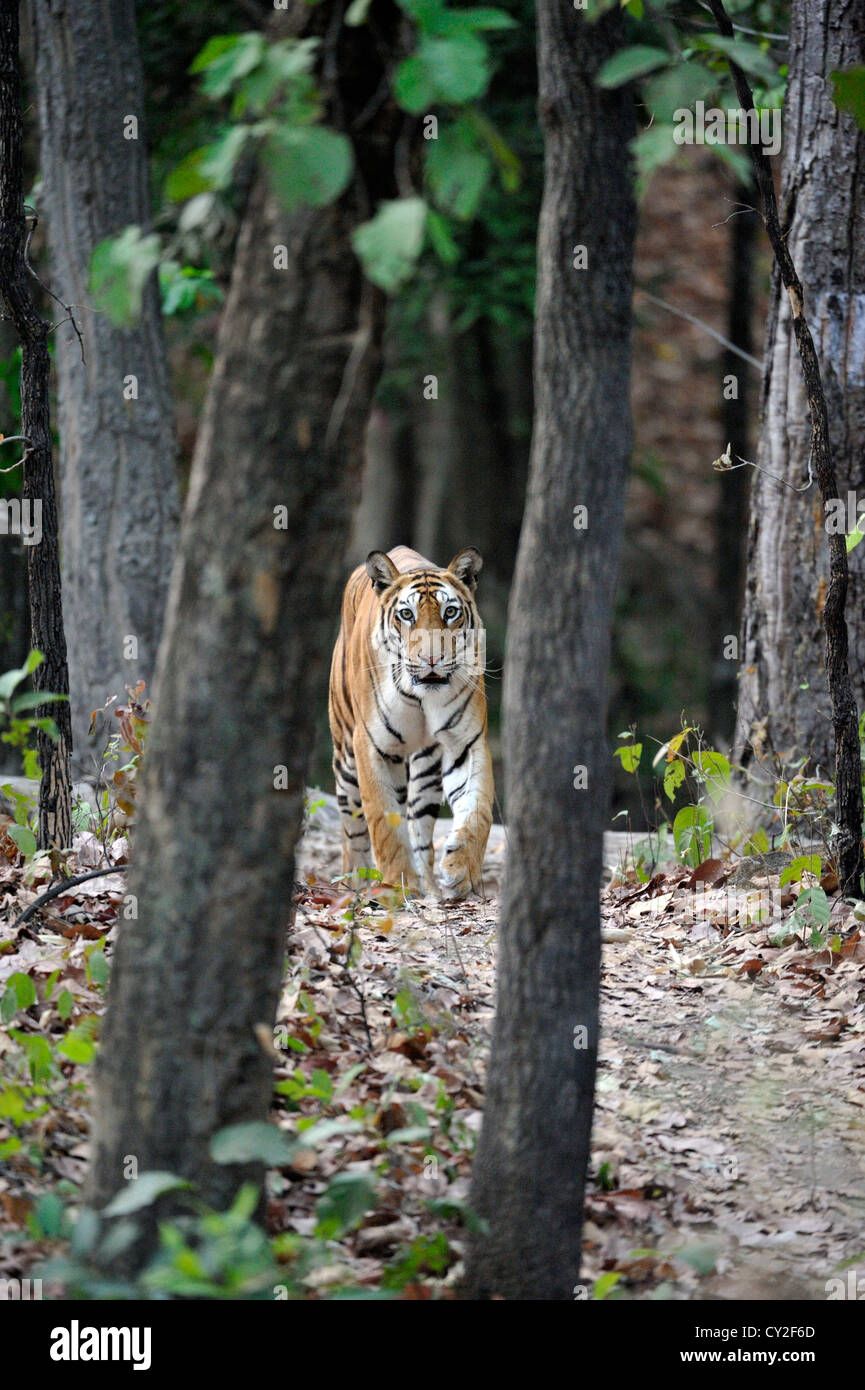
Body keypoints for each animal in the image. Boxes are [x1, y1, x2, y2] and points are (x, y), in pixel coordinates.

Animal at [328, 545, 494, 899]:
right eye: (406, 615)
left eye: (450, 612)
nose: (432, 659)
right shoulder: (371, 747)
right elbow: (384, 824)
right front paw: (395, 885)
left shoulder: (466, 744)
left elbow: (477, 811)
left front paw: (460, 871)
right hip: (345, 759)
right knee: (352, 831)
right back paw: (354, 882)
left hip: (427, 771)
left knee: (420, 830)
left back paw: (429, 886)